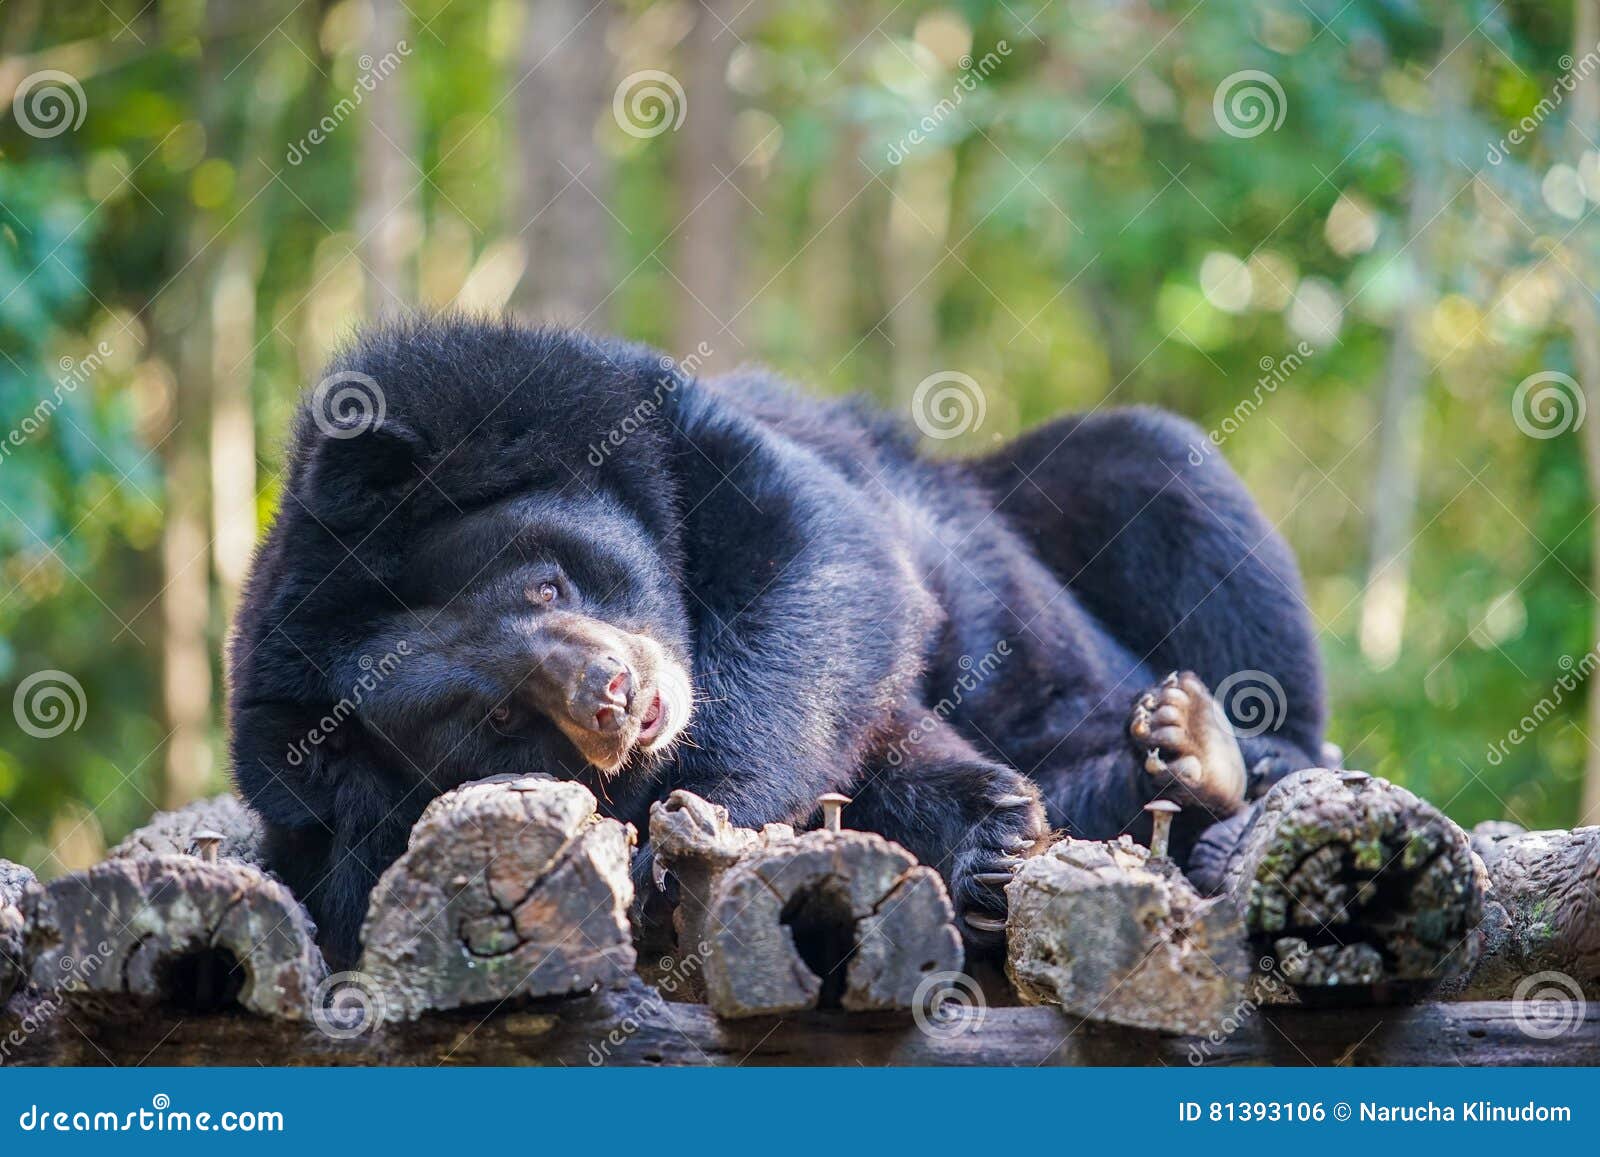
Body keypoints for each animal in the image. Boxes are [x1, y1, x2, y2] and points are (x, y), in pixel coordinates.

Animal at [228, 315, 1327, 968]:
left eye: (546, 580)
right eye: (497, 716)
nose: (613, 692)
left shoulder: (637, 417)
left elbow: (820, 561)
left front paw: (685, 830)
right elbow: (881, 741)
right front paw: (989, 841)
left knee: (1155, 465)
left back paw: (1229, 744)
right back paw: (1177, 762)